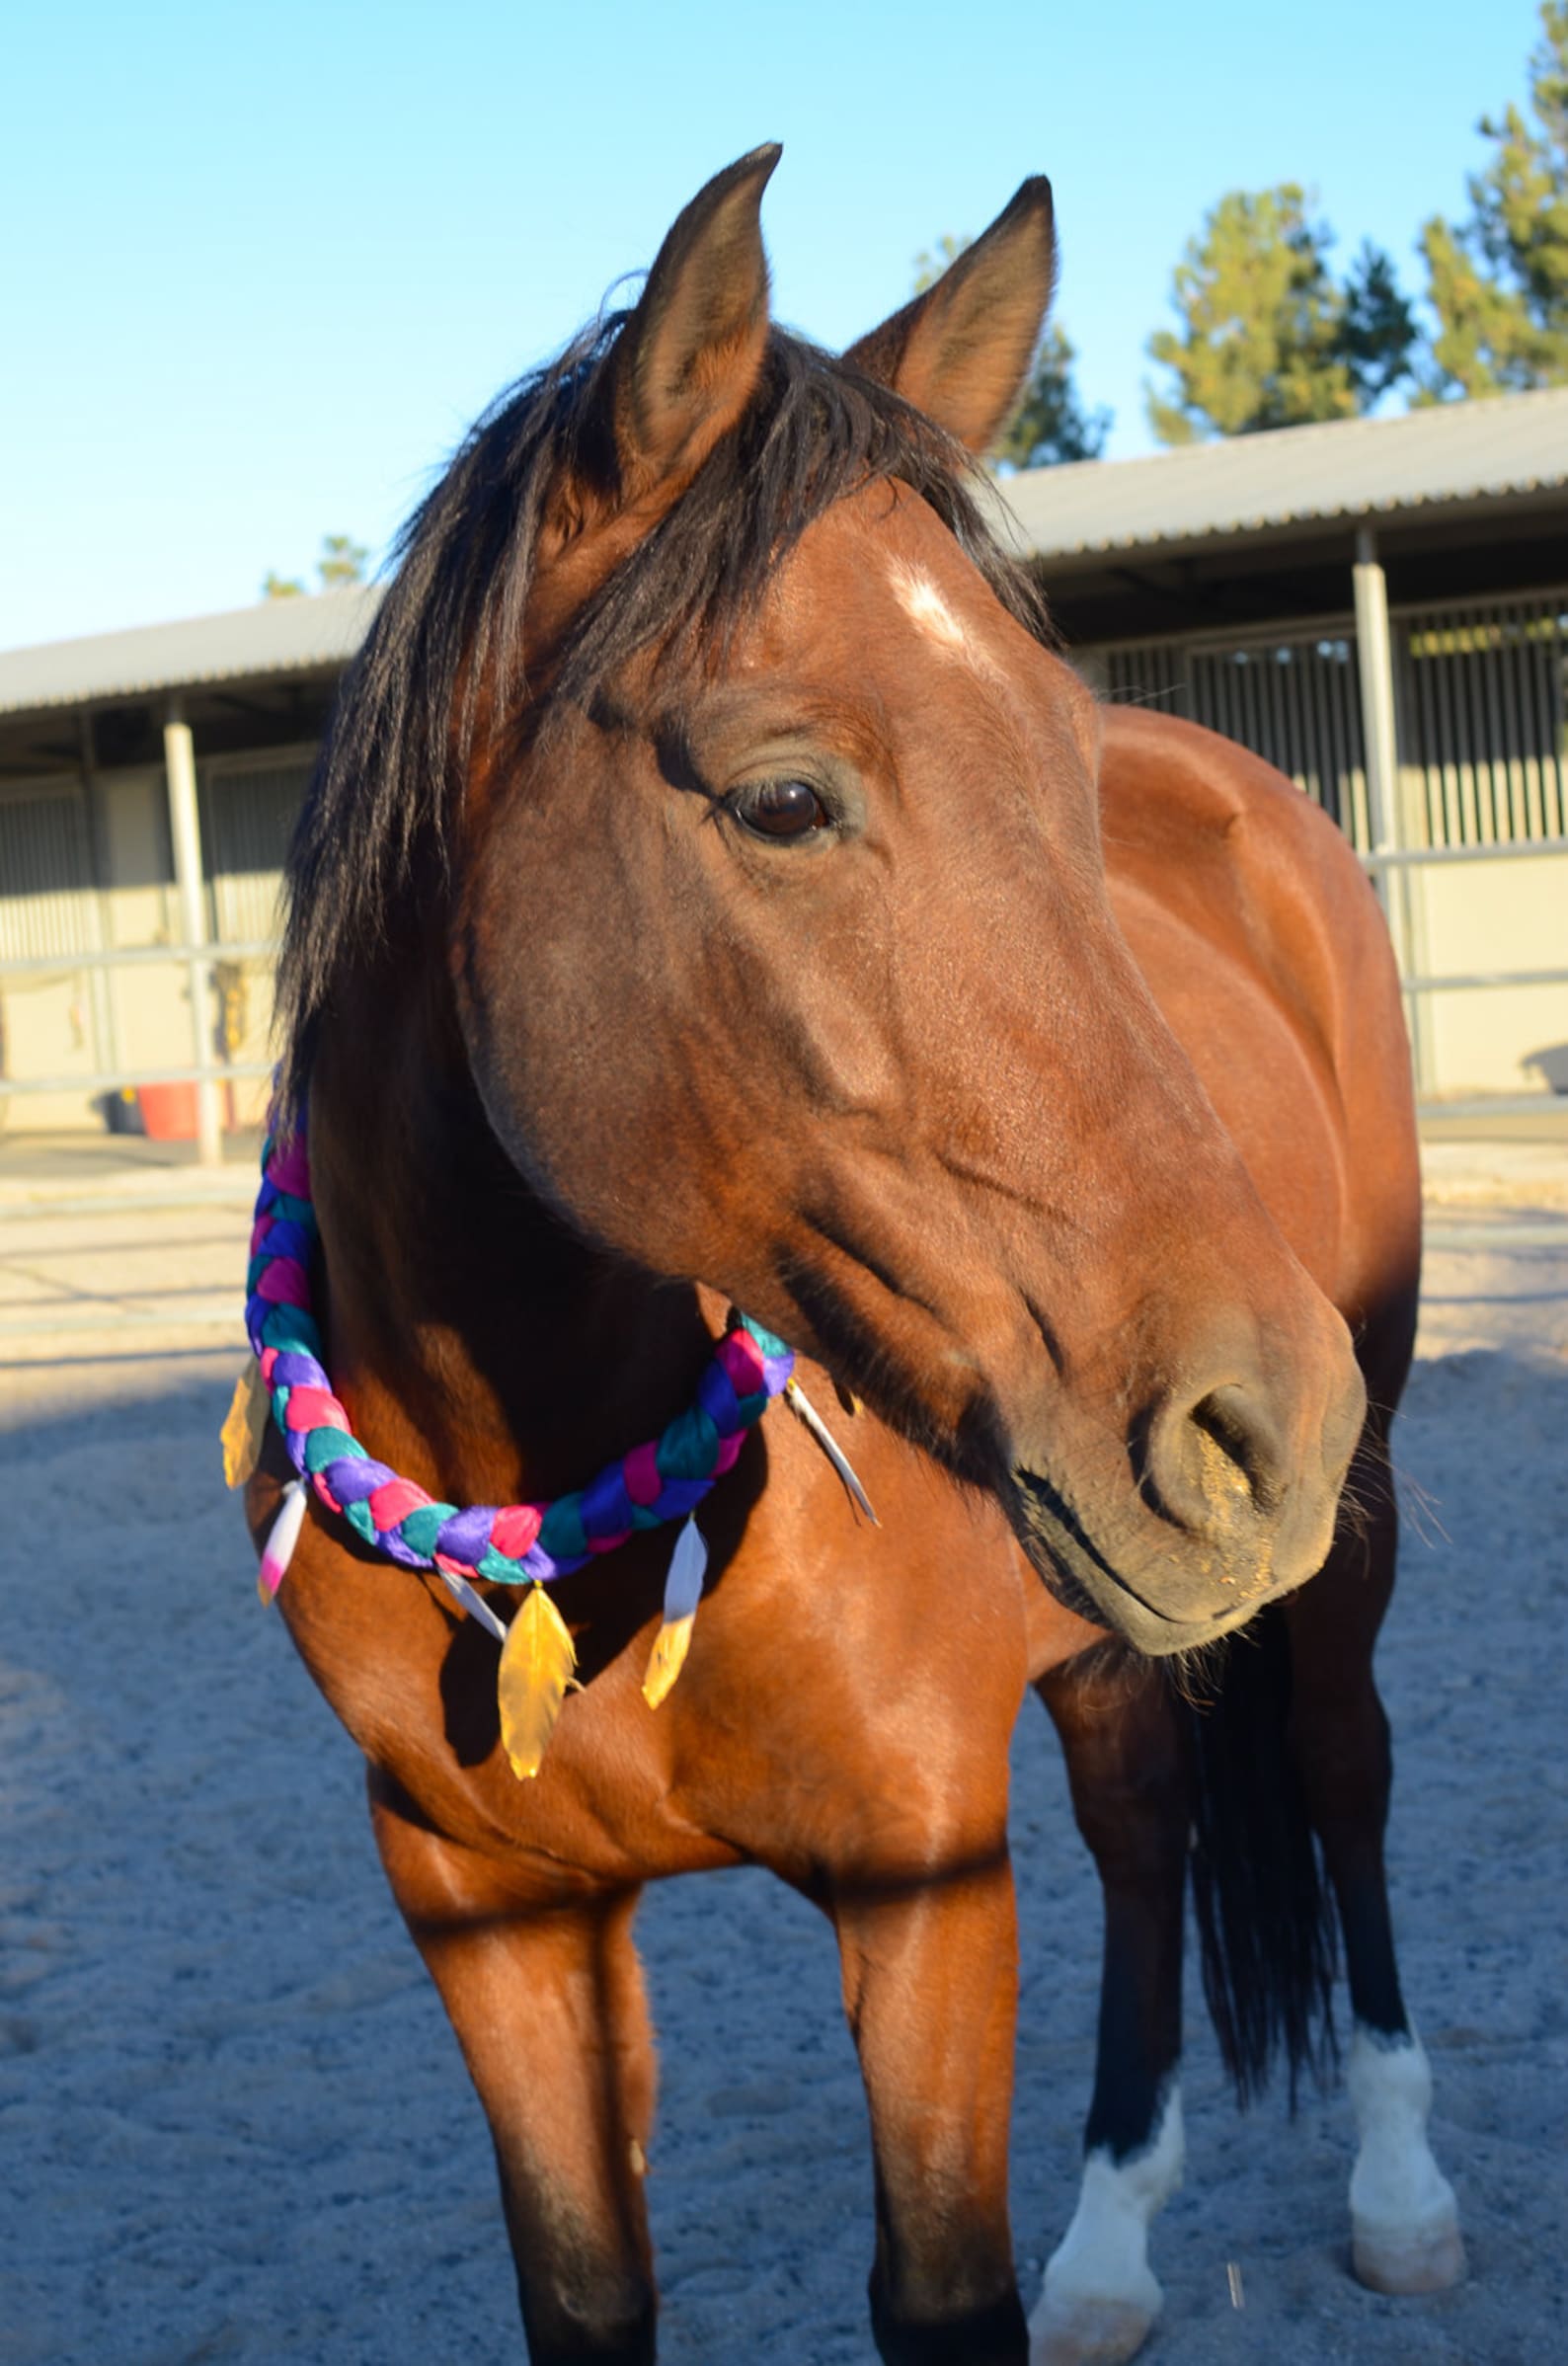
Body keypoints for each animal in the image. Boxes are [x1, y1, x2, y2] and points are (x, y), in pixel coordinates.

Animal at [244, 148, 1464, 2365]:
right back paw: (1110, 2243)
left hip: (1351, 1536)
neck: (553, 1502)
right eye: (785, 798)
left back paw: (1400, 2193)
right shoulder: (487, 1916)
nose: (1262, 1418)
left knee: (1341, 1770)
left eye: (1064, 778)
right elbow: (586, 2297)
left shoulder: (922, 1888)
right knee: (1142, 1821)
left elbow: (935, 2297)